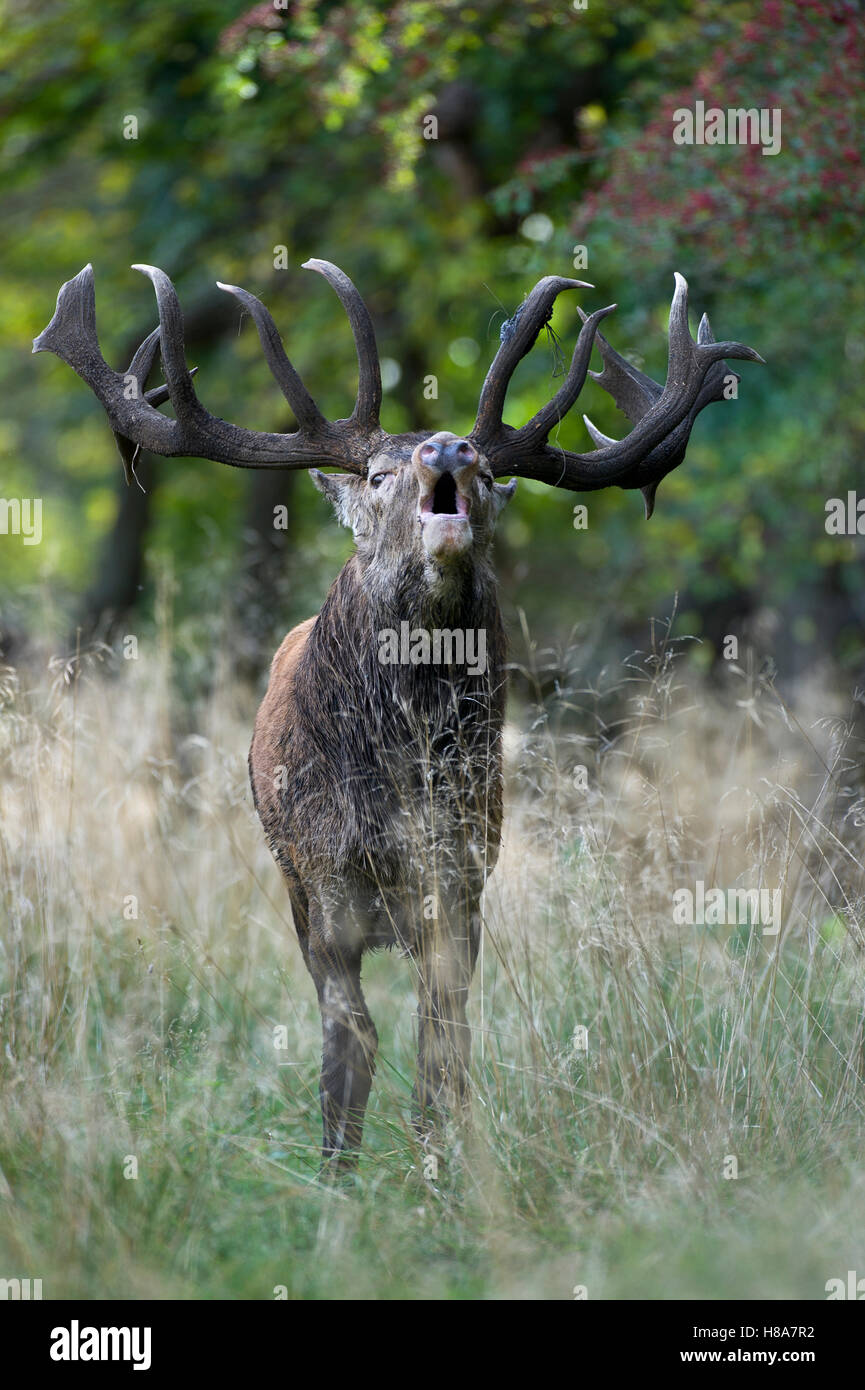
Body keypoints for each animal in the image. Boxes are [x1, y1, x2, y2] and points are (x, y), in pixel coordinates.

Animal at [33, 259, 762, 1170]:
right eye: (377, 476)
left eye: (484, 475)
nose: (449, 447)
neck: (398, 784)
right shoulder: (320, 883)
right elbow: (349, 1043)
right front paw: (336, 1174)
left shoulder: (458, 881)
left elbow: (440, 1044)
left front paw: (438, 1165)